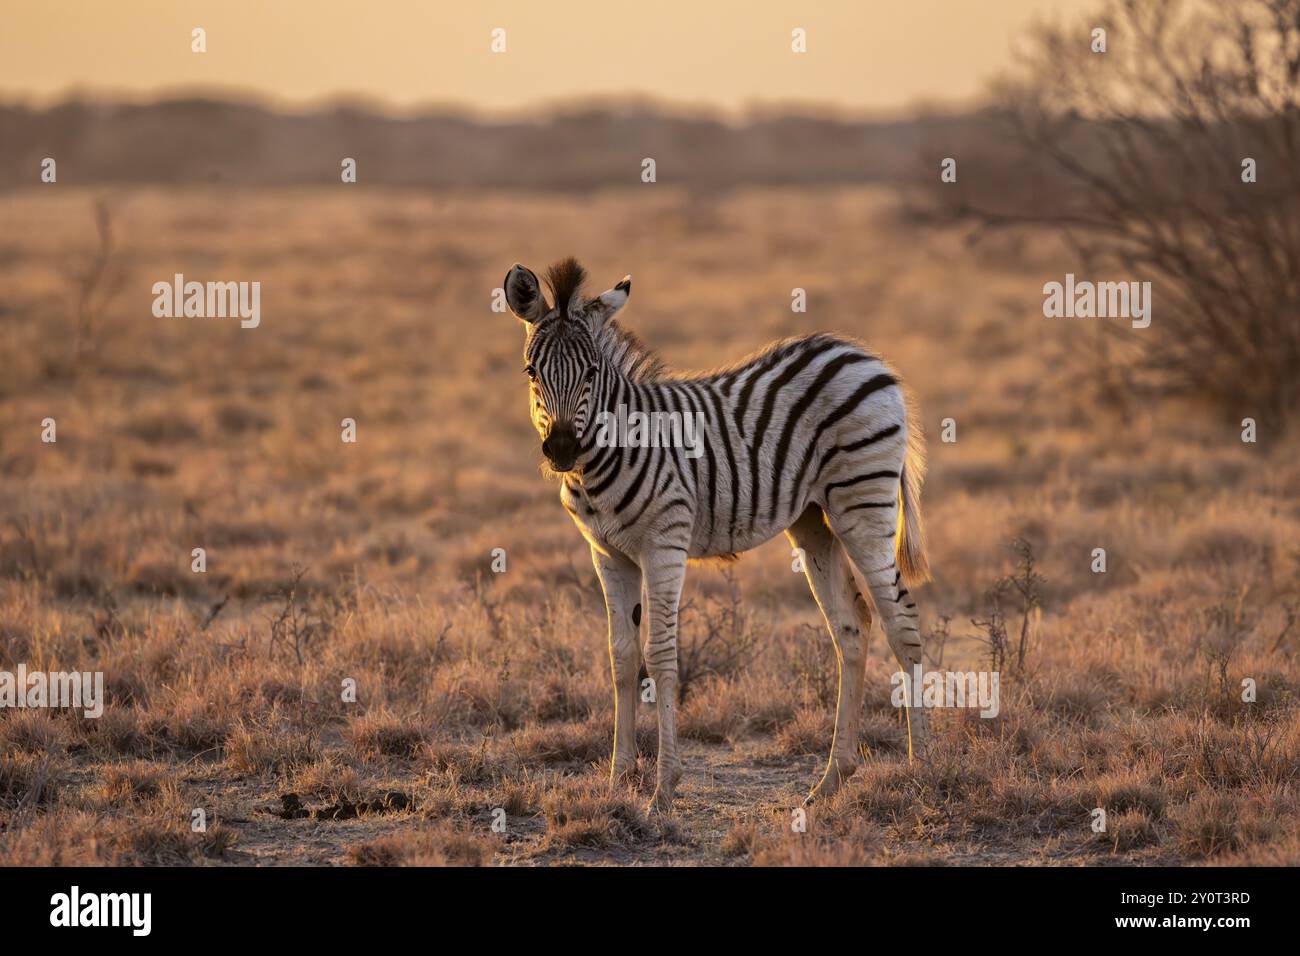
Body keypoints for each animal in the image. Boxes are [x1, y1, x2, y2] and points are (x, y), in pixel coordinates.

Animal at [503, 257, 930, 813]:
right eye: (532, 372)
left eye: (592, 373)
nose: (559, 450)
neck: (607, 452)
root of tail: (862, 355)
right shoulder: (607, 554)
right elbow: (621, 656)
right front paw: (618, 778)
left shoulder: (664, 543)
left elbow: (661, 655)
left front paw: (663, 788)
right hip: (814, 520)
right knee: (851, 626)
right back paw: (831, 781)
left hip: (864, 503)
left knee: (903, 621)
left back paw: (923, 768)